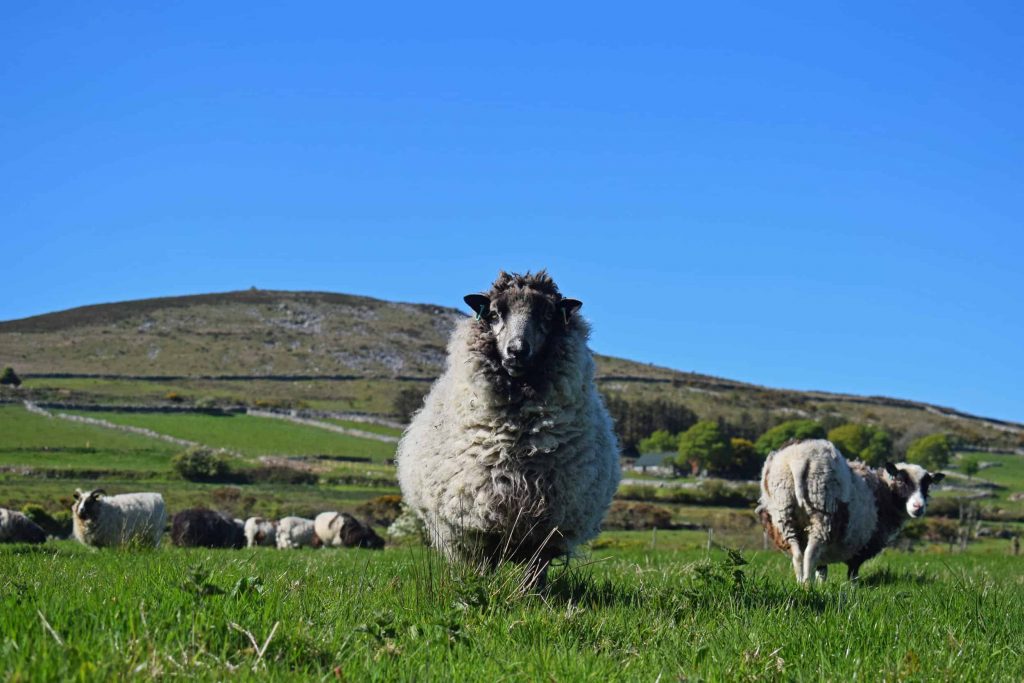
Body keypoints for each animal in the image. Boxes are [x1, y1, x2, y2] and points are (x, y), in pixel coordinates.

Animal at [396, 270, 620, 585]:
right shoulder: (478, 519)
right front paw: (479, 587)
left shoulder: (548, 523)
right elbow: (481, 565)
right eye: (493, 313)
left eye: (548, 315)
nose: (516, 351)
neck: (518, 439)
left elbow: (535, 572)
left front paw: (533, 595)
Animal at [756, 439, 945, 583]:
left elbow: (822, 569)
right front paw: (851, 588)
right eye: (901, 481)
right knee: (810, 553)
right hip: (822, 512)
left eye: (927, 485)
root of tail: (799, 460)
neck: (885, 491)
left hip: (783, 512)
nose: (918, 507)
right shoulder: (861, 544)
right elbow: (853, 572)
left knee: (797, 554)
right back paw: (807, 586)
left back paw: (800, 583)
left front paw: (822, 586)